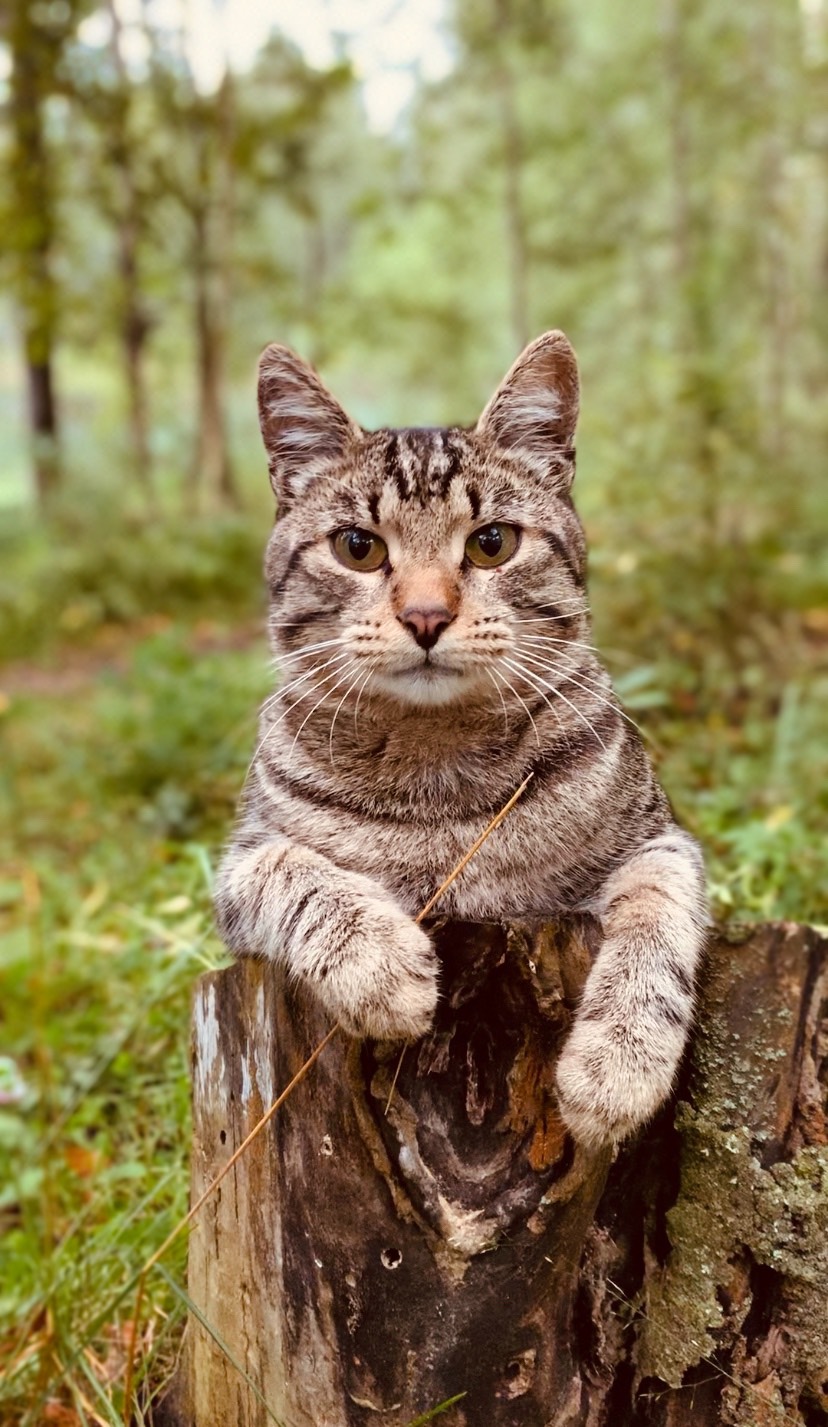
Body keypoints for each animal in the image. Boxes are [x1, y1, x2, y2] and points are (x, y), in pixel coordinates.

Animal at [215, 331, 710, 1147]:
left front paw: (619, 1064)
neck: (437, 775)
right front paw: (380, 965)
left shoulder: (661, 839)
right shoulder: (237, 868)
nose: (425, 615)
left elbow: (658, 915)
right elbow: (293, 871)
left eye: (491, 544)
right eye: (358, 546)